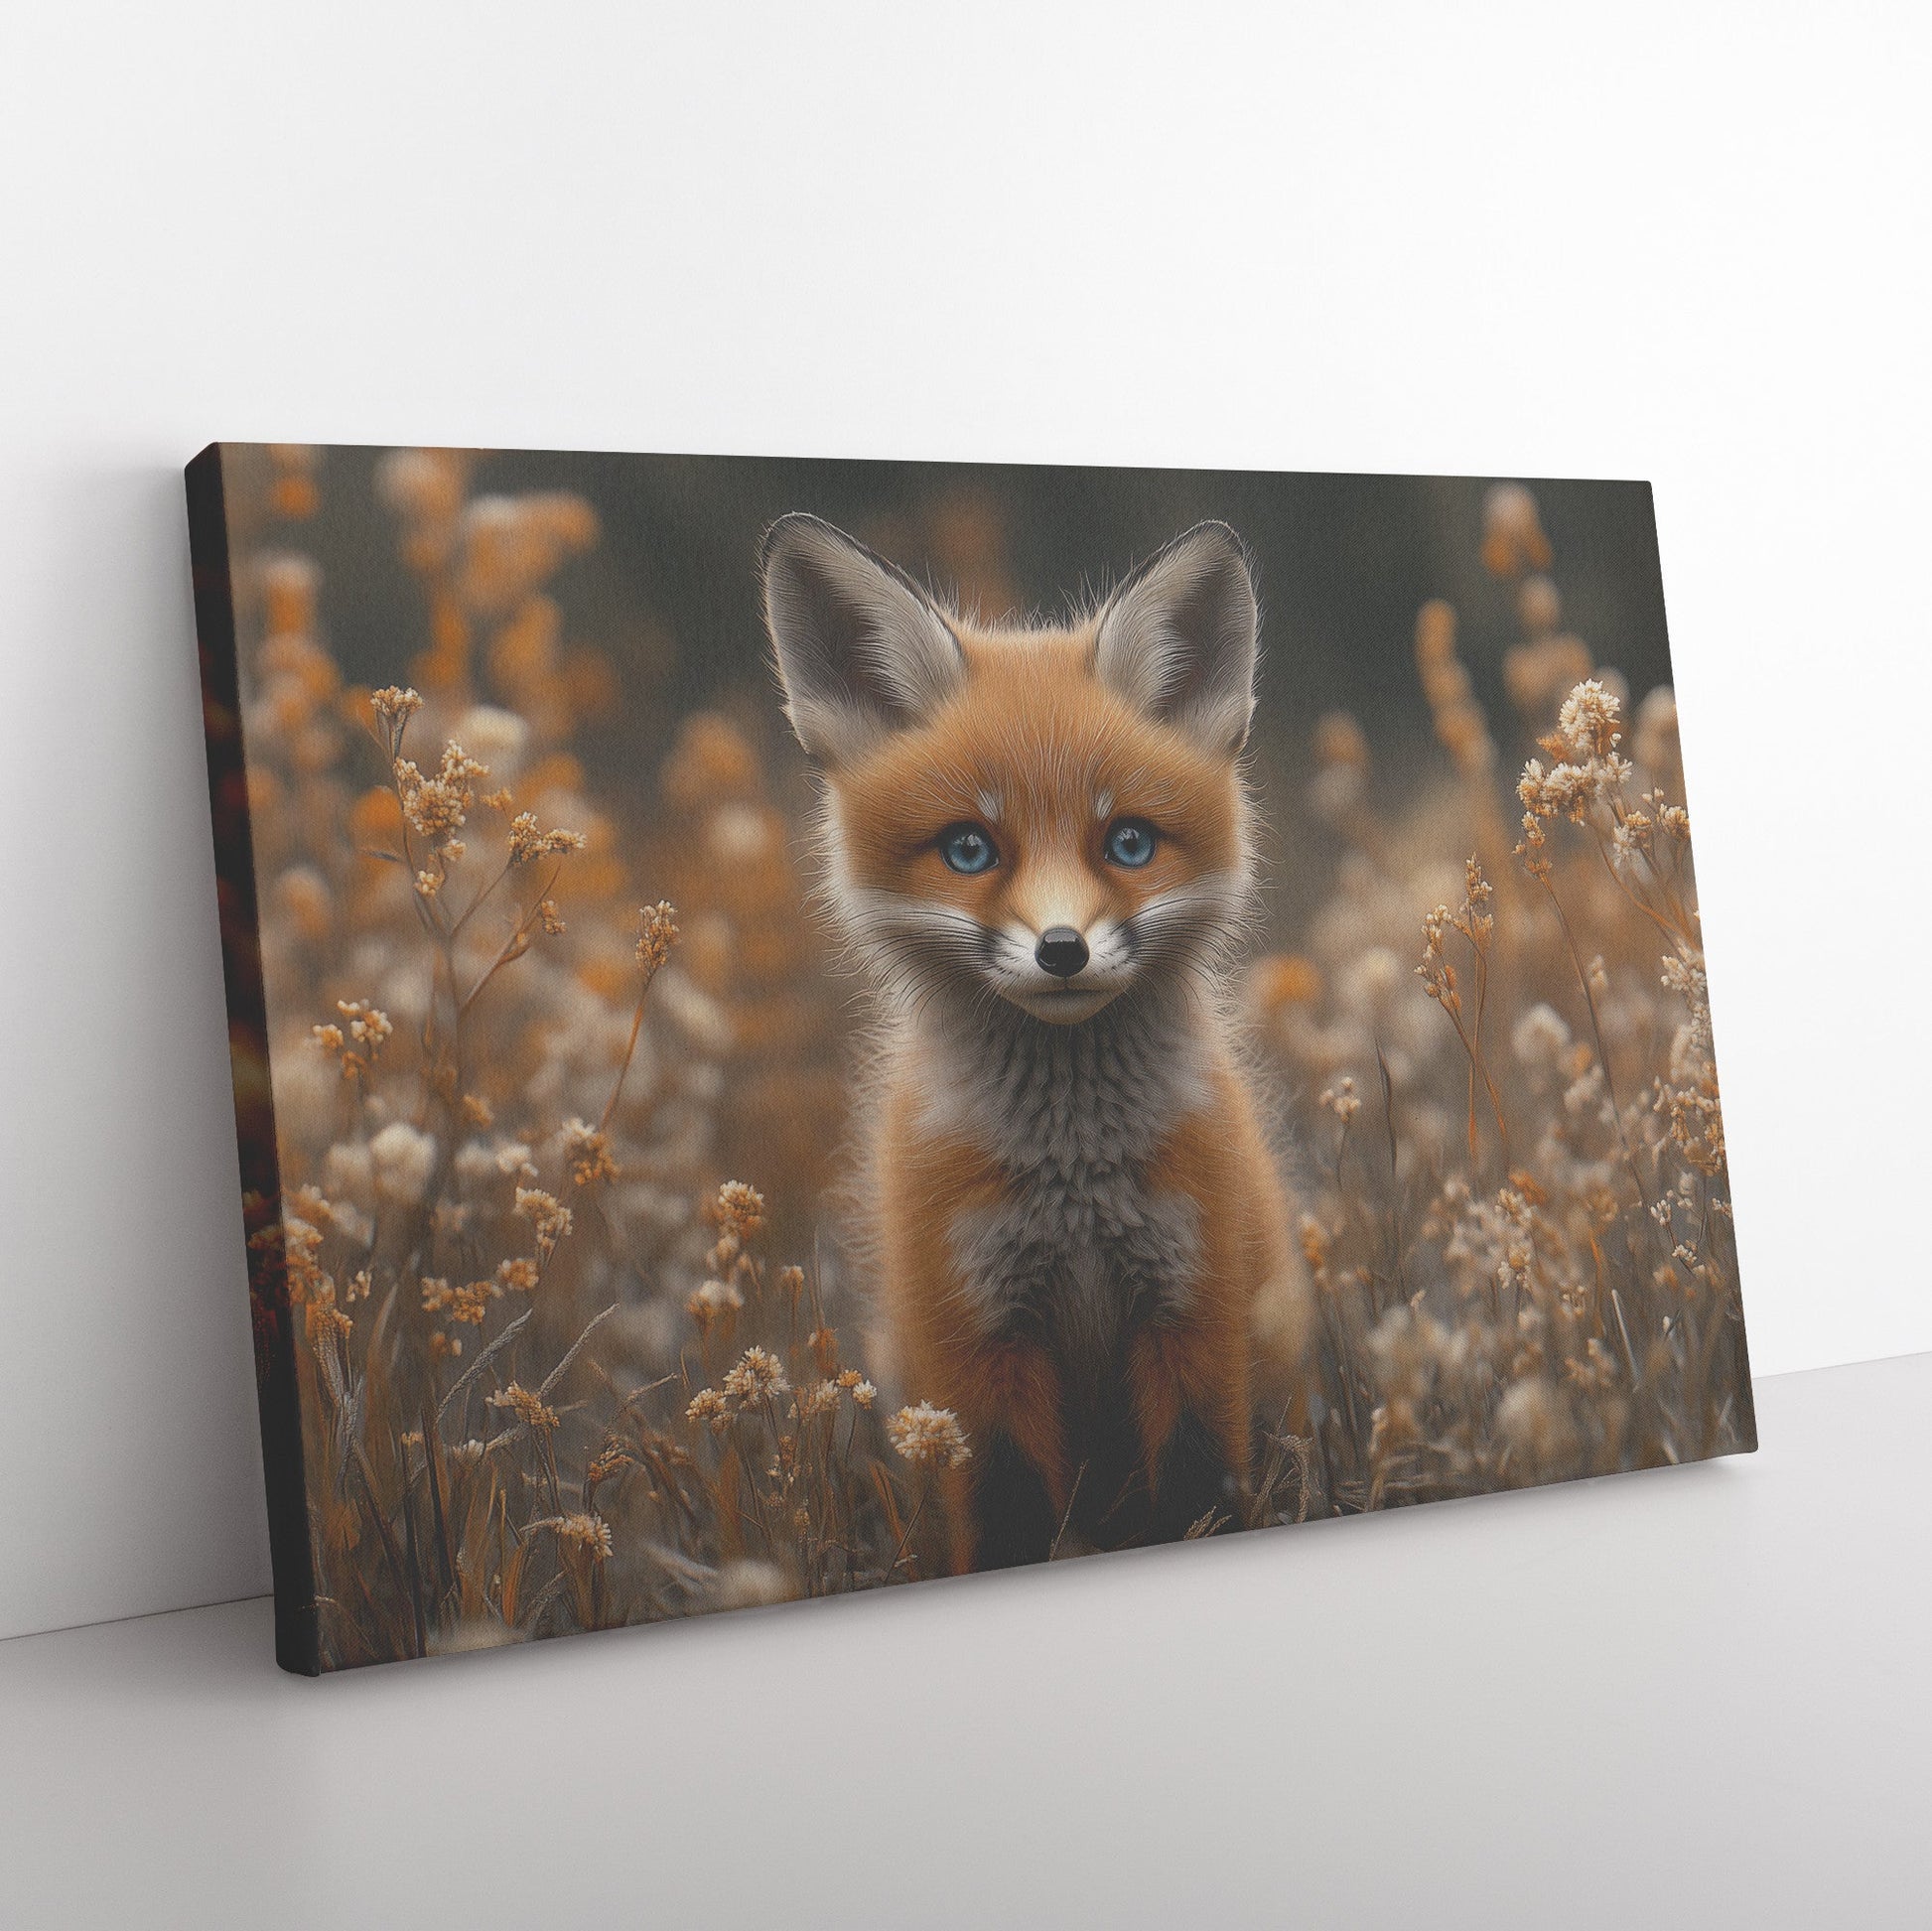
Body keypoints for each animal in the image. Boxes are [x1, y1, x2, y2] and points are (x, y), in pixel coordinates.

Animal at [762, 513, 1311, 1574]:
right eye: (970, 848)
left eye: (1128, 843)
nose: (1063, 949)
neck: (1074, 1180)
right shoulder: (978, 1341)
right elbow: (1007, 1519)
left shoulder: (1192, 1307)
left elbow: (1202, 1497)